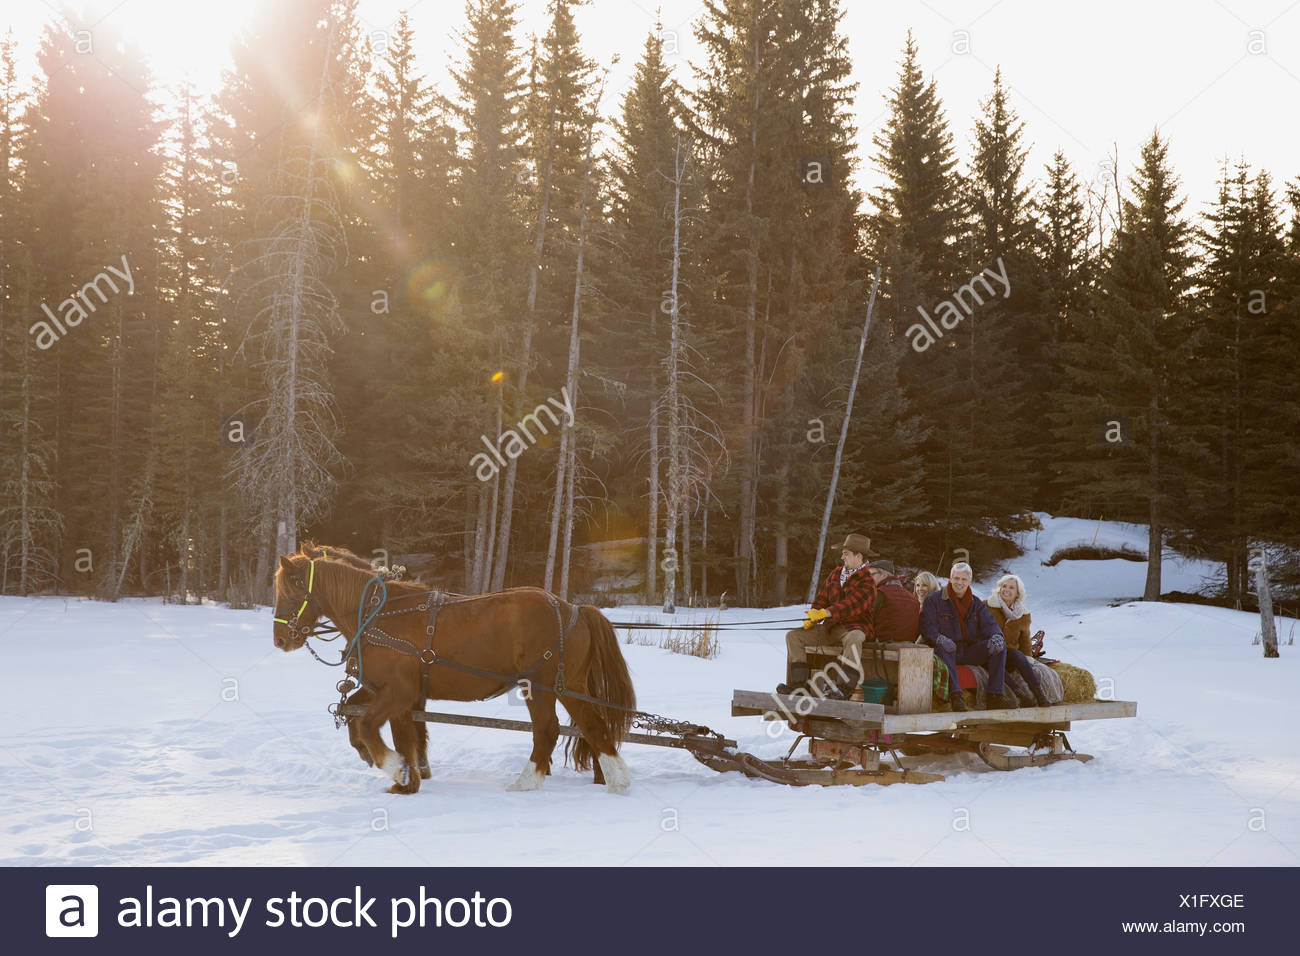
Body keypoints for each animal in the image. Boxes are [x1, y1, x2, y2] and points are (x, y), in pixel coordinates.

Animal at [272, 549, 637, 794]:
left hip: (541, 684)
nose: (279, 639)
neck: (379, 613)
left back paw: (529, 781)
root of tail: (573, 607)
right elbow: (389, 729)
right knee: (591, 725)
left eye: (290, 590)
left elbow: (367, 725)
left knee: (549, 729)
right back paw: (614, 779)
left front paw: (395, 769)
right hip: (567, 684)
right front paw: (406, 778)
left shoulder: (399, 692)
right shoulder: (397, 694)